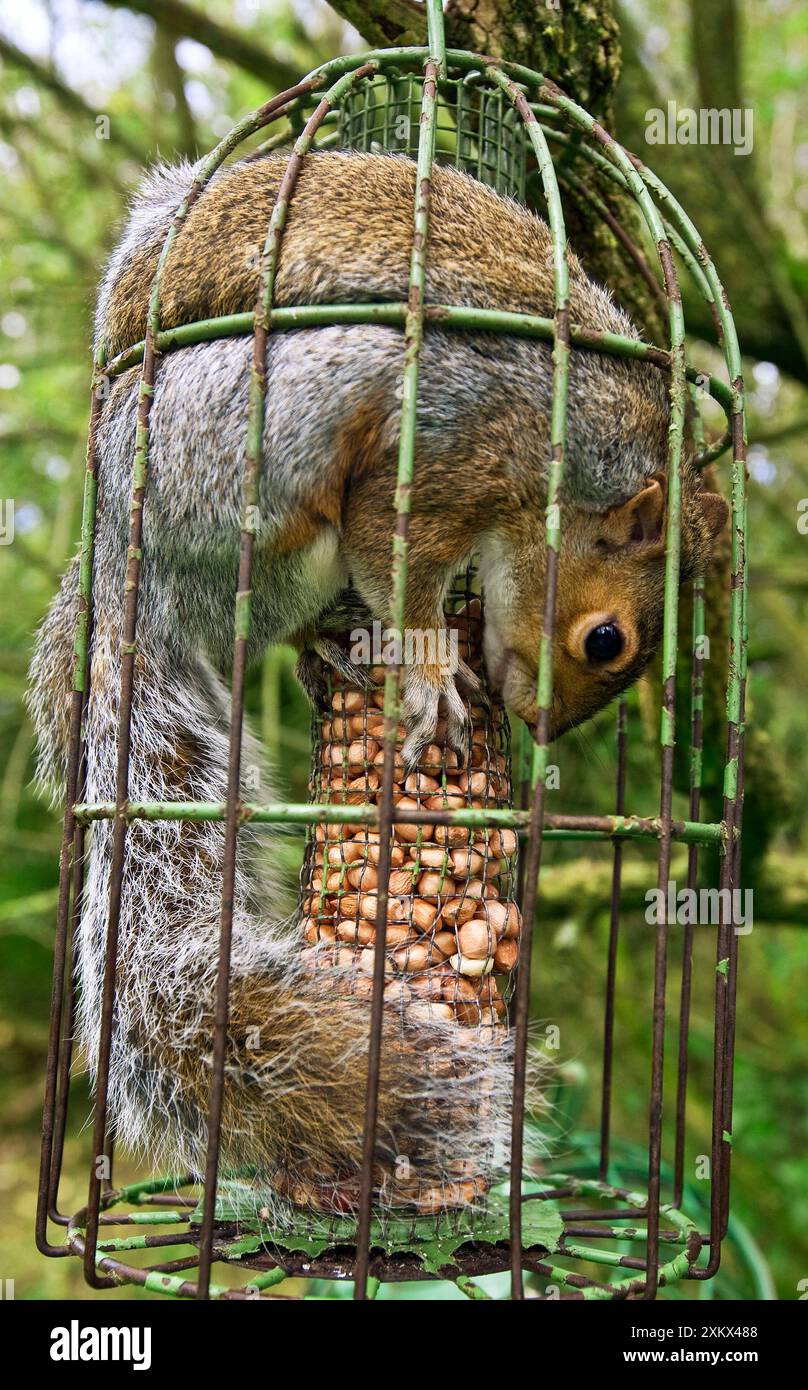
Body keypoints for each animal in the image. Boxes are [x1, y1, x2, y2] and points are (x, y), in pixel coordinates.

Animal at [28, 150, 728, 1213]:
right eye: (606, 640)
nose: (536, 722)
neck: (579, 445)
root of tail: (116, 558)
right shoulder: (451, 450)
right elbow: (396, 557)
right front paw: (434, 672)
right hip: (268, 445)